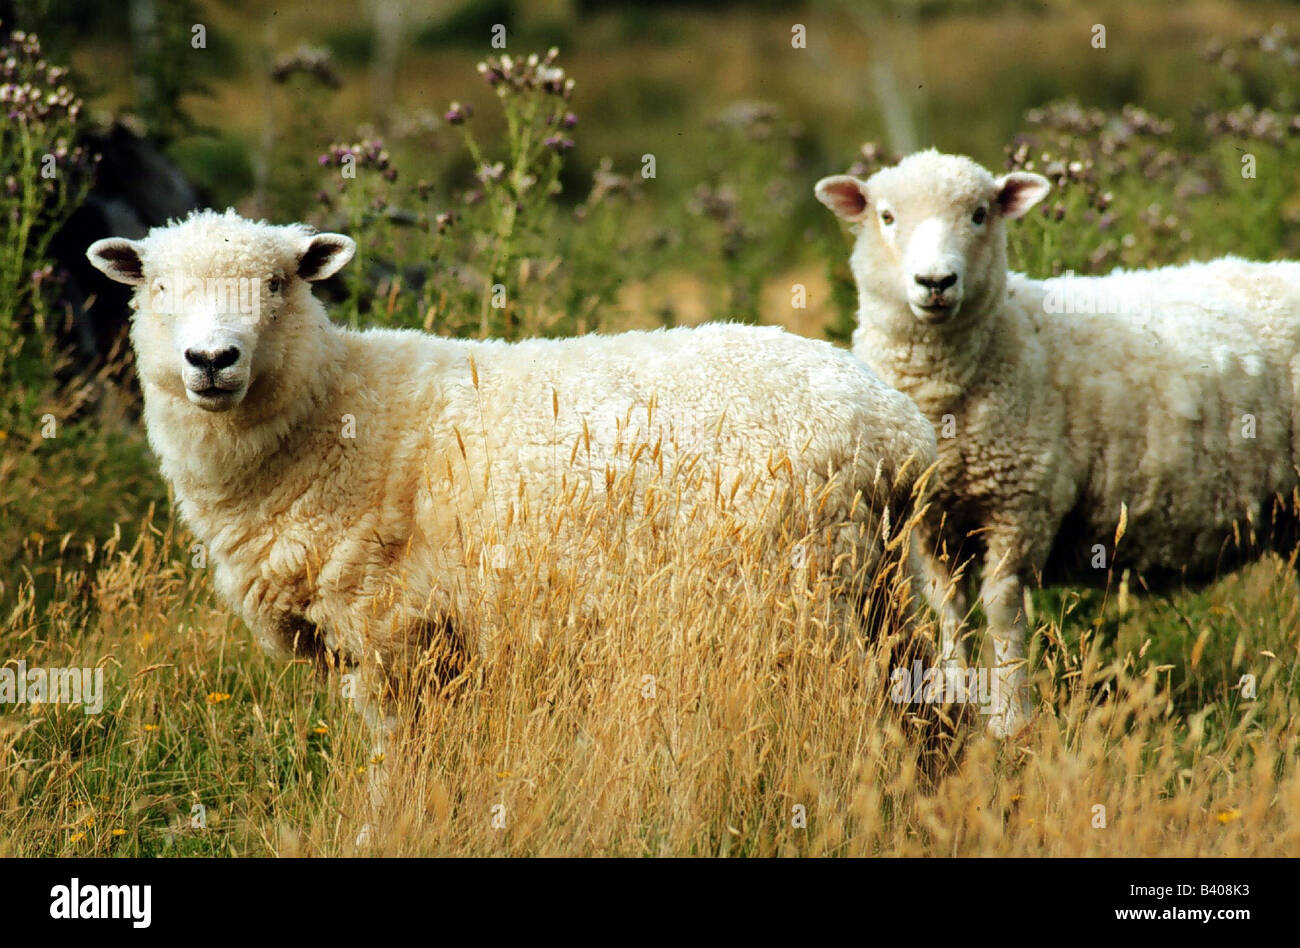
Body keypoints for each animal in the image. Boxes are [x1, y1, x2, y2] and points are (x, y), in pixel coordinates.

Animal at [86, 208, 938, 741]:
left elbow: (403, 754)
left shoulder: (398, 630)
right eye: (156, 287)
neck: (334, 414)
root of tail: (899, 428)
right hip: (879, 589)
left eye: (276, 284)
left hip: (803, 589)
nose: (211, 360)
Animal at [816, 148, 1300, 737]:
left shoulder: (1020, 504)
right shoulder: (931, 521)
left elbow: (1002, 612)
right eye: (886, 216)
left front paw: (1009, 718)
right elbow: (949, 609)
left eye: (980, 214)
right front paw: (956, 699)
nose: (936, 282)